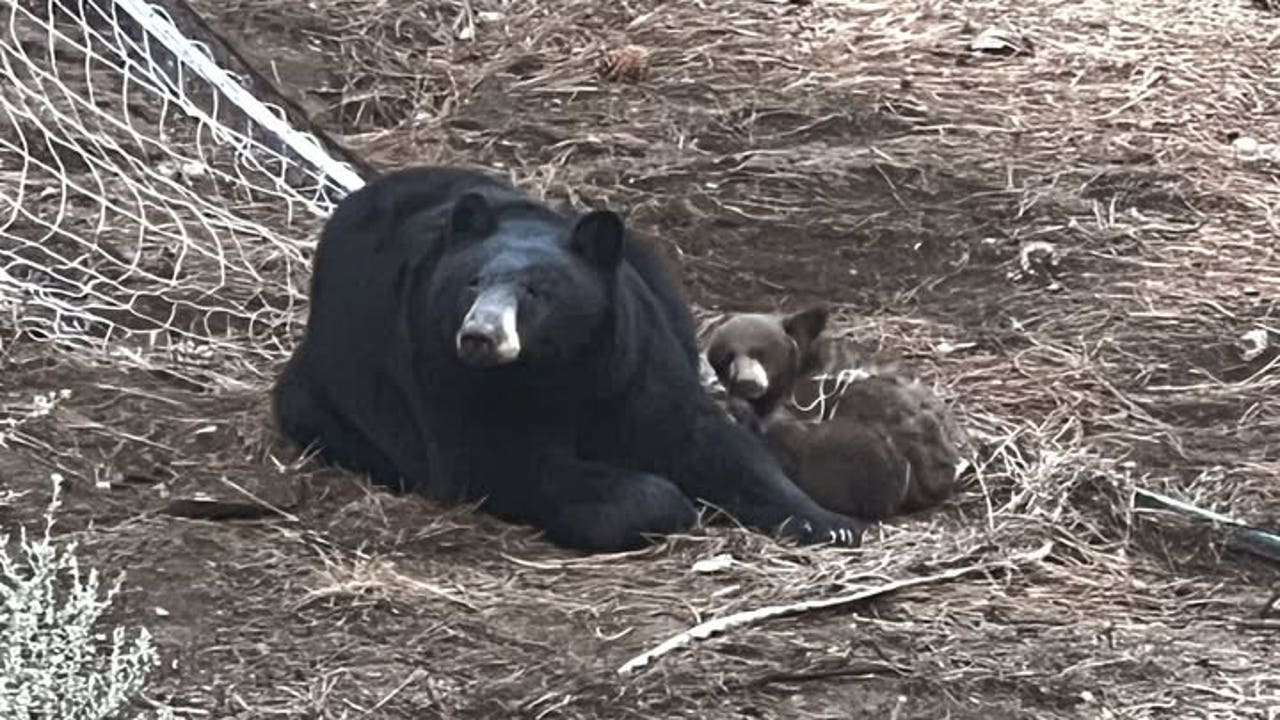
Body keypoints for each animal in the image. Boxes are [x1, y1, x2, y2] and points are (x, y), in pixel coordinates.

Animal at [272, 165, 867, 553]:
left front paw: (832, 522)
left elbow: (701, 436)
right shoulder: (442, 370)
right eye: (471, 284)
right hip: (323, 386)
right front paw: (668, 503)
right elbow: (502, 460)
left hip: (647, 264)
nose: (479, 336)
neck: (556, 368)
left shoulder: (631, 350)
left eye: (536, 292)